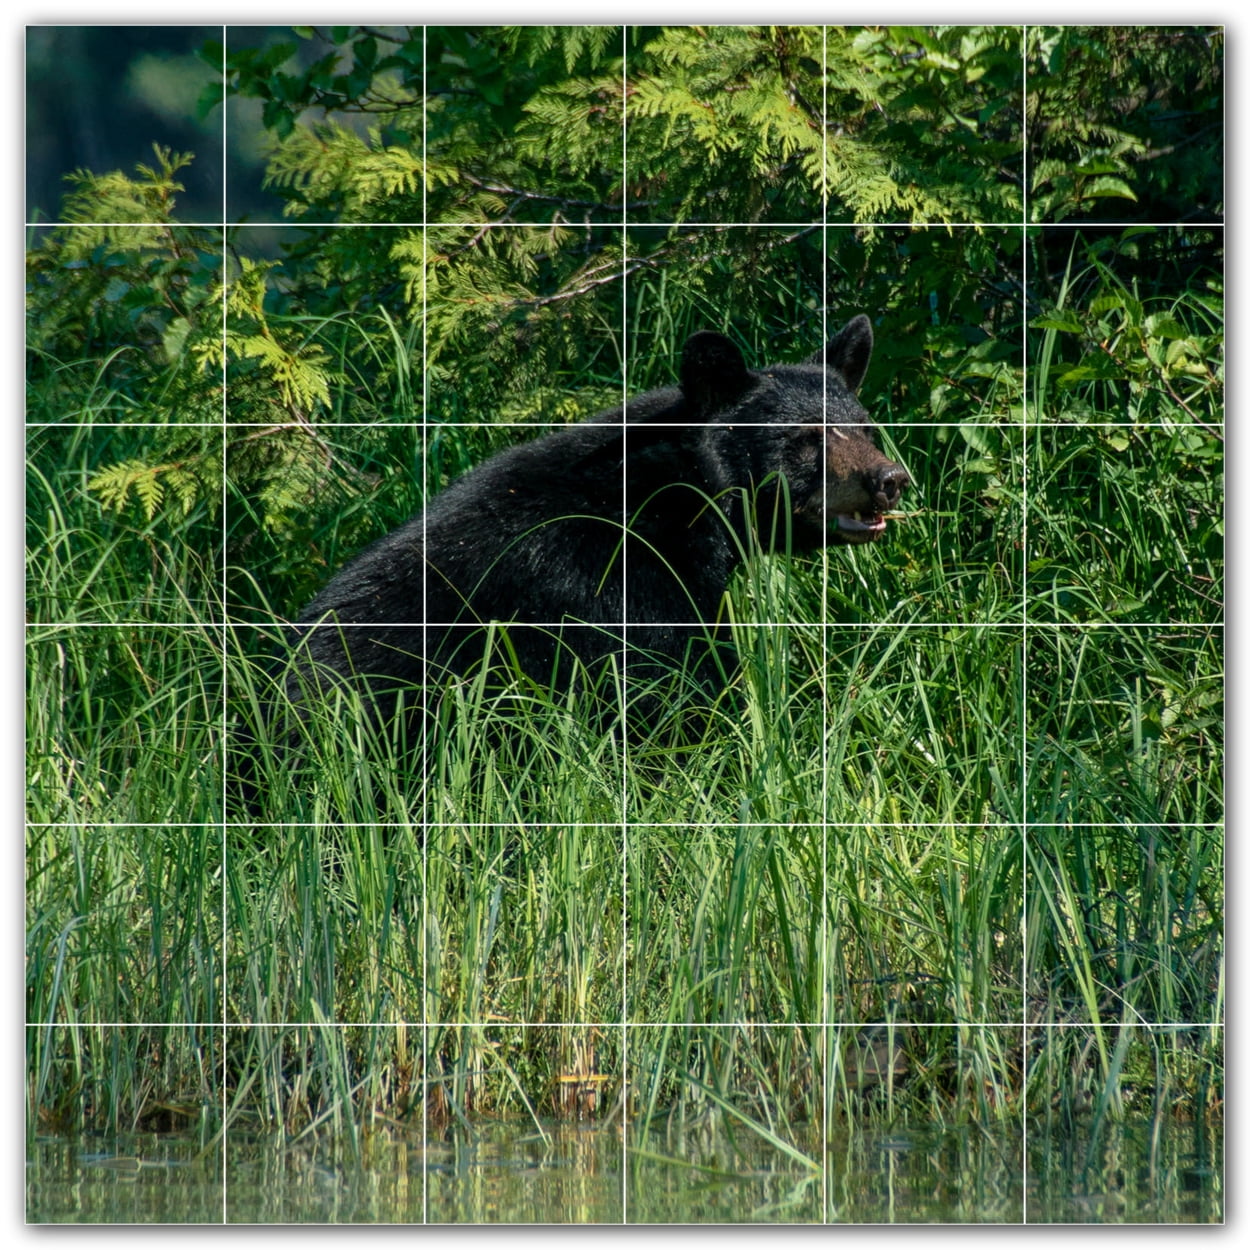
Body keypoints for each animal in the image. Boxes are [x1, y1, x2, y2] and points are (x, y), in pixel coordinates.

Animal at [279, 314, 908, 761]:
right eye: (806, 439)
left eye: (867, 429)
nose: (889, 480)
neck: (676, 496)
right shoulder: (616, 584)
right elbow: (674, 692)